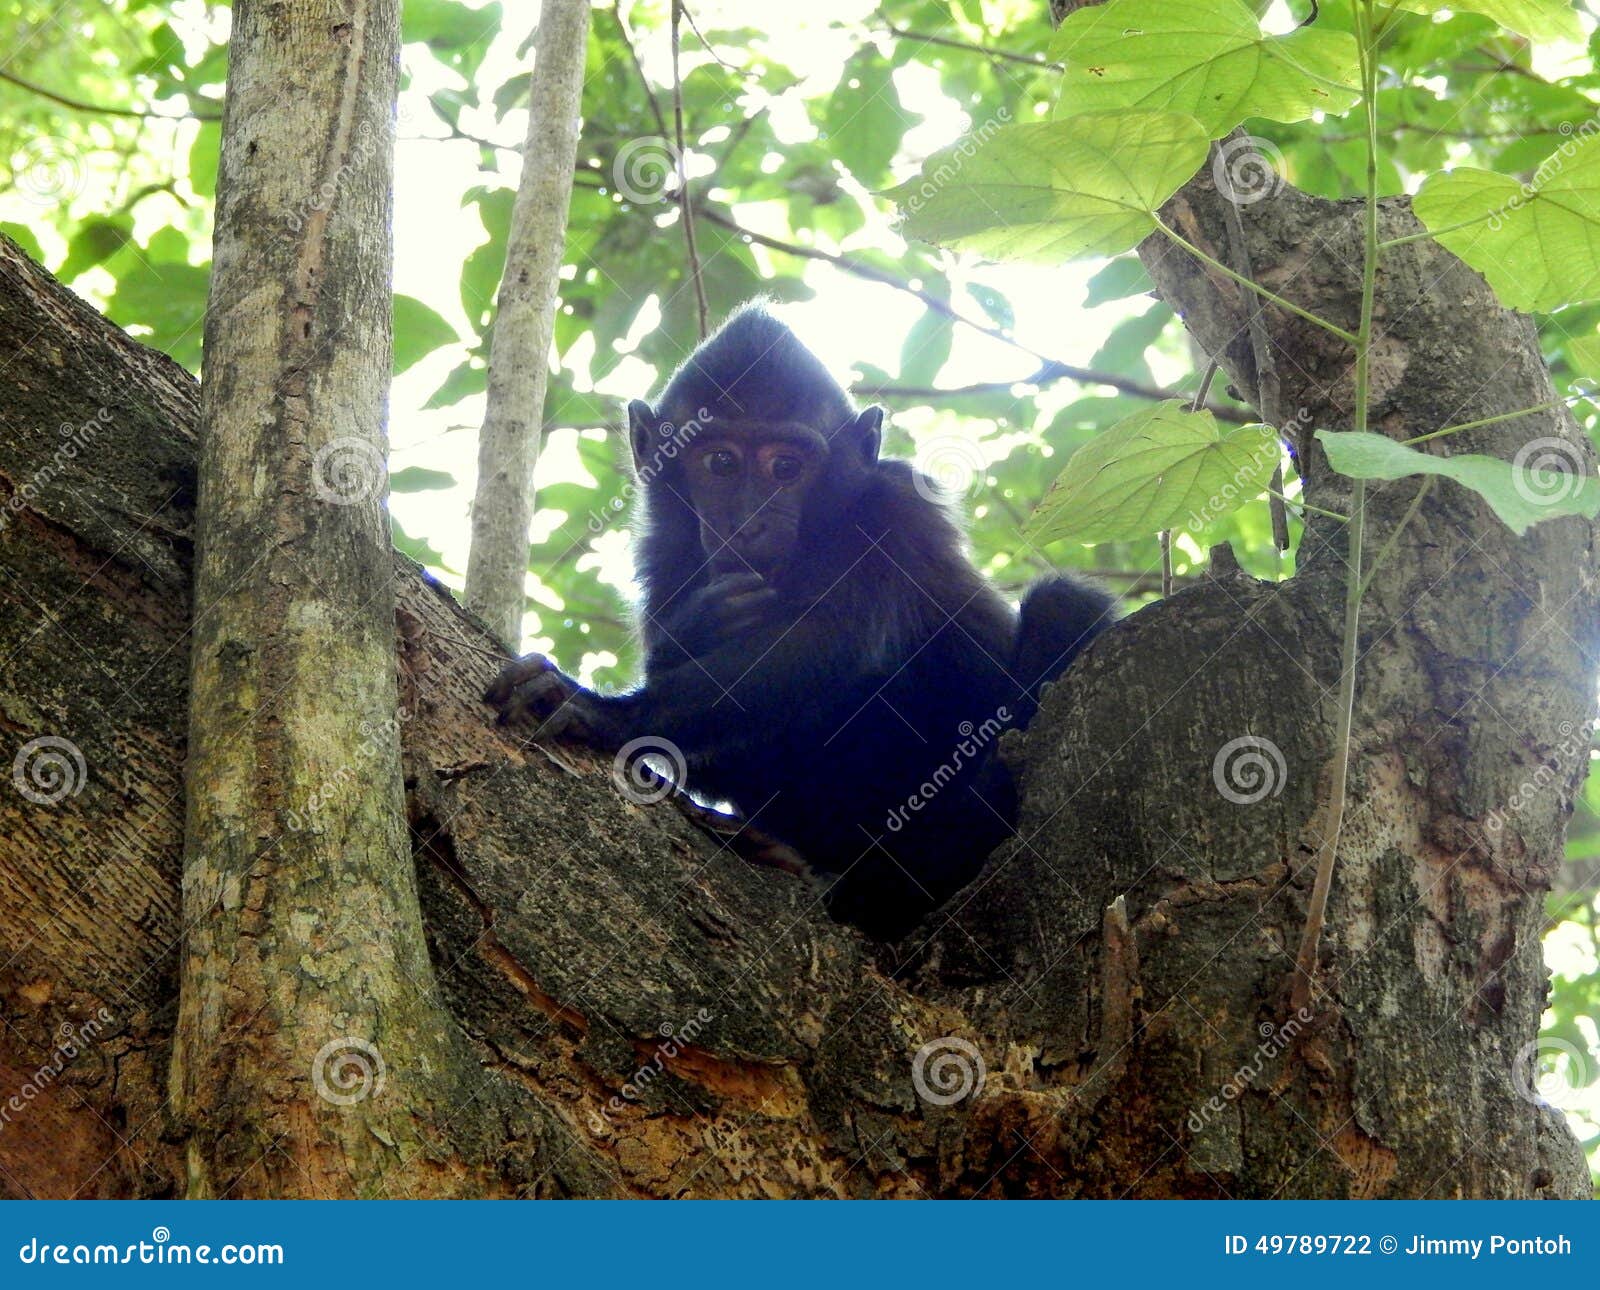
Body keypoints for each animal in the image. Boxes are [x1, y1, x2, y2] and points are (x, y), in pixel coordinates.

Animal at [486, 305, 1115, 939]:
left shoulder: (895, 509)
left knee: (1062, 604)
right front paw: (704, 621)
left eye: (786, 467)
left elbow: (834, 648)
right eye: (720, 461)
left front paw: (609, 713)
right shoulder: (662, 548)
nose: (749, 523)